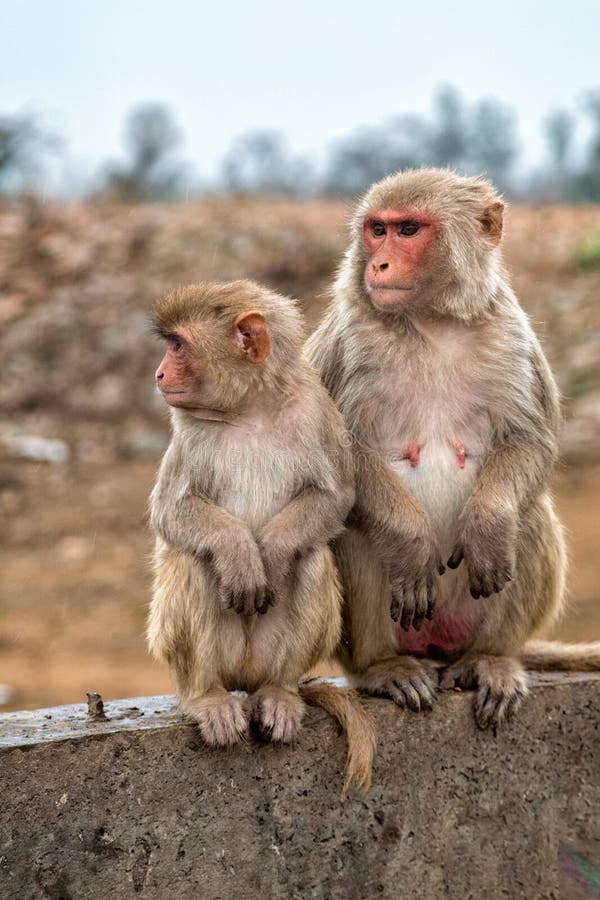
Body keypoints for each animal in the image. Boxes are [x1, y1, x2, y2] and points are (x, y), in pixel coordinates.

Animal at [147, 279, 375, 795]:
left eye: (178, 345)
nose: (159, 373)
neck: (249, 409)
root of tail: (245, 679)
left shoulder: (316, 409)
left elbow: (335, 497)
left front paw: (269, 554)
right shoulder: (187, 428)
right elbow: (171, 512)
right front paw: (240, 552)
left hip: (267, 655)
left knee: (311, 558)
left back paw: (280, 692)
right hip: (209, 657)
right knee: (193, 559)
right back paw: (206, 697)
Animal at [306, 167, 600, 729]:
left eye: (408, 230)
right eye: (377, 229)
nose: (378, 263)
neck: (433, 323)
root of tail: (438, 649)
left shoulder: (511, 335)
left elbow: (531, 438)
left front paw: (487, 523)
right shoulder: (348, 345)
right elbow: (333, 458)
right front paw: (412, 542)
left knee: (527, 517)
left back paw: (489, 659)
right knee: (354, 530)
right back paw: (384, 668)